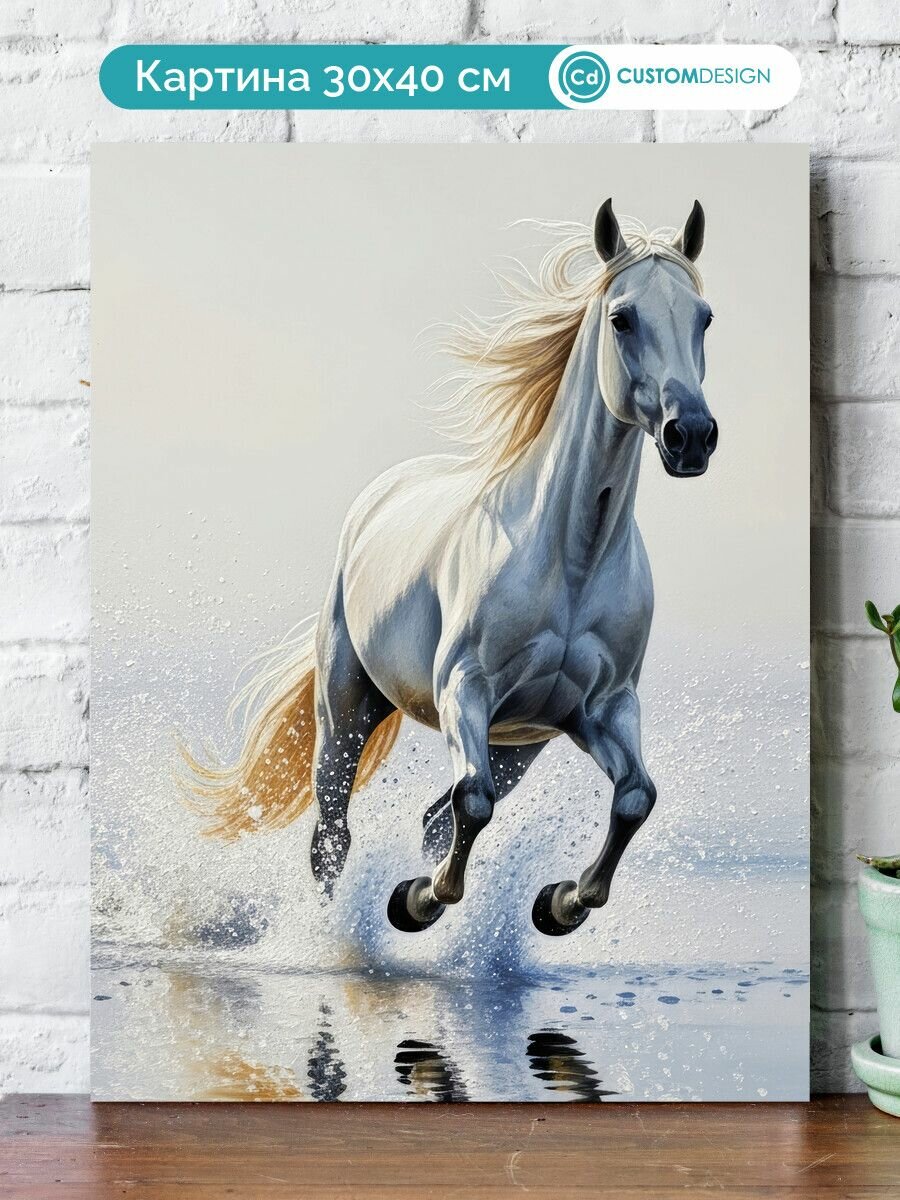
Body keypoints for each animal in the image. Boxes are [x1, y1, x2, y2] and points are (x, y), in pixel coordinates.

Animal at [183, 197, 718, 937]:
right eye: (623, 318)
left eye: (704, 317)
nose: (690, 435)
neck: (571, 562)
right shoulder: (465, 687)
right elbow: (473, 802)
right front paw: (414, 901)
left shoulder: (603, 708)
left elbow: (635, 797)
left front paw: (559, 904)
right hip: (346, 706)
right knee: (334, 835)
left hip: (520, 743)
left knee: (434, 819)